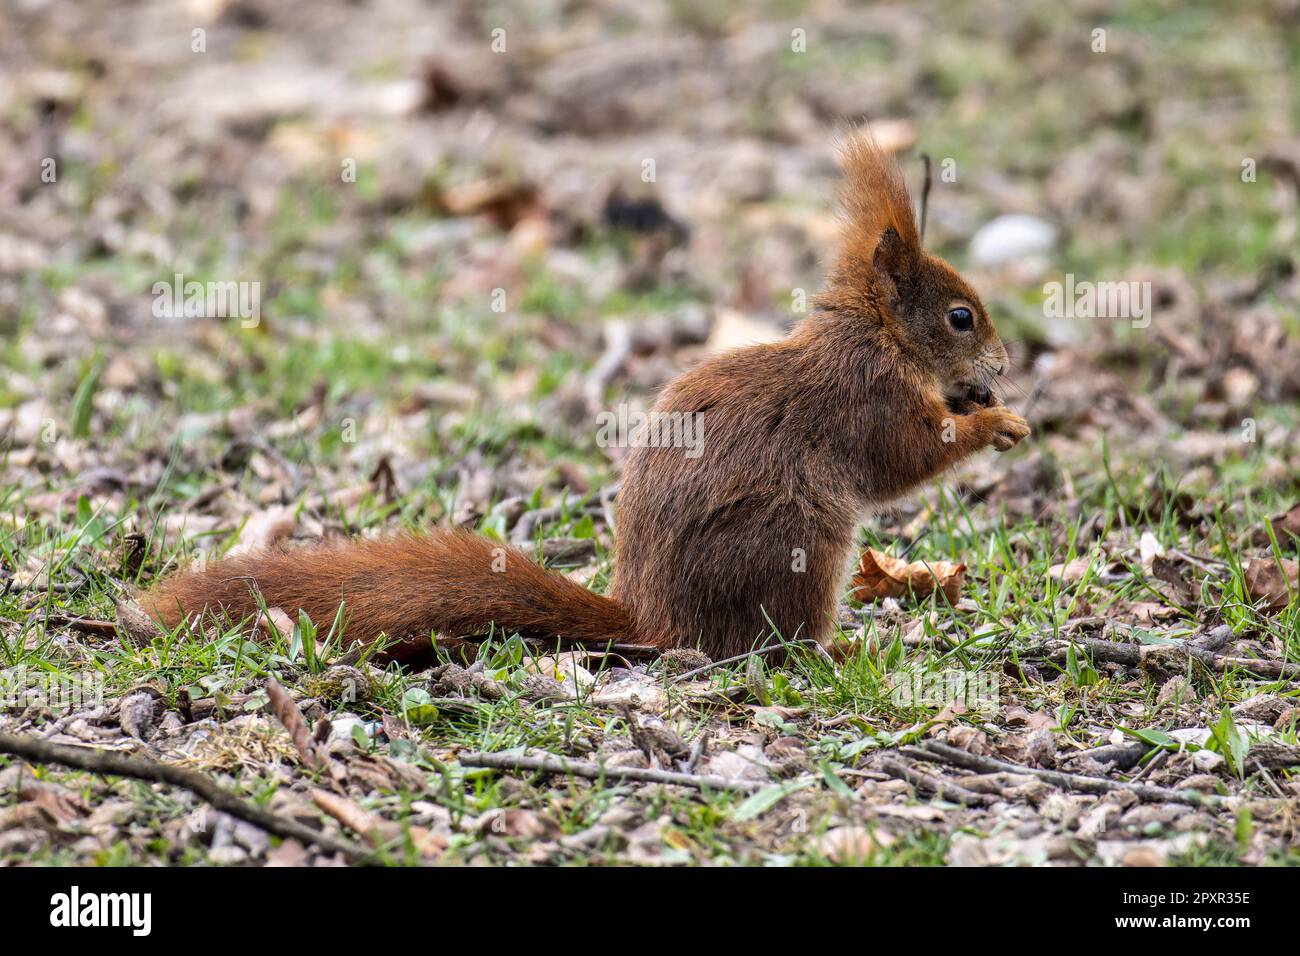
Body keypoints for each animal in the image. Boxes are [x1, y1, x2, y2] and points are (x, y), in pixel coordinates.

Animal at [139, 134, 1030, 664]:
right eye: (961, 317)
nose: (1004, 362)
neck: (873, 335)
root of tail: (651, 621)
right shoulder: (866, 399)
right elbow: (906, 458)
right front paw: (996, 421)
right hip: (800, 539)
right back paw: (837, 650)